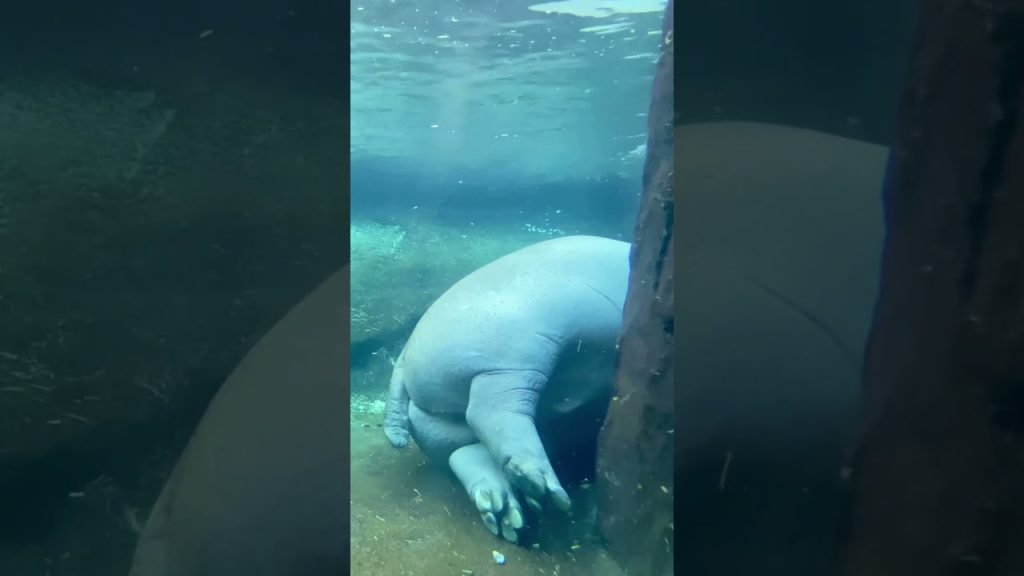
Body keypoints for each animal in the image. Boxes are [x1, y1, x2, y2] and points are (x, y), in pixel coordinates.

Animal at [384, 234, 631, 543]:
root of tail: (405, 352)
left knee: (464, 451)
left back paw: (503, 512)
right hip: (514, 359)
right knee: (492, 413)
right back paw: (544, 488)